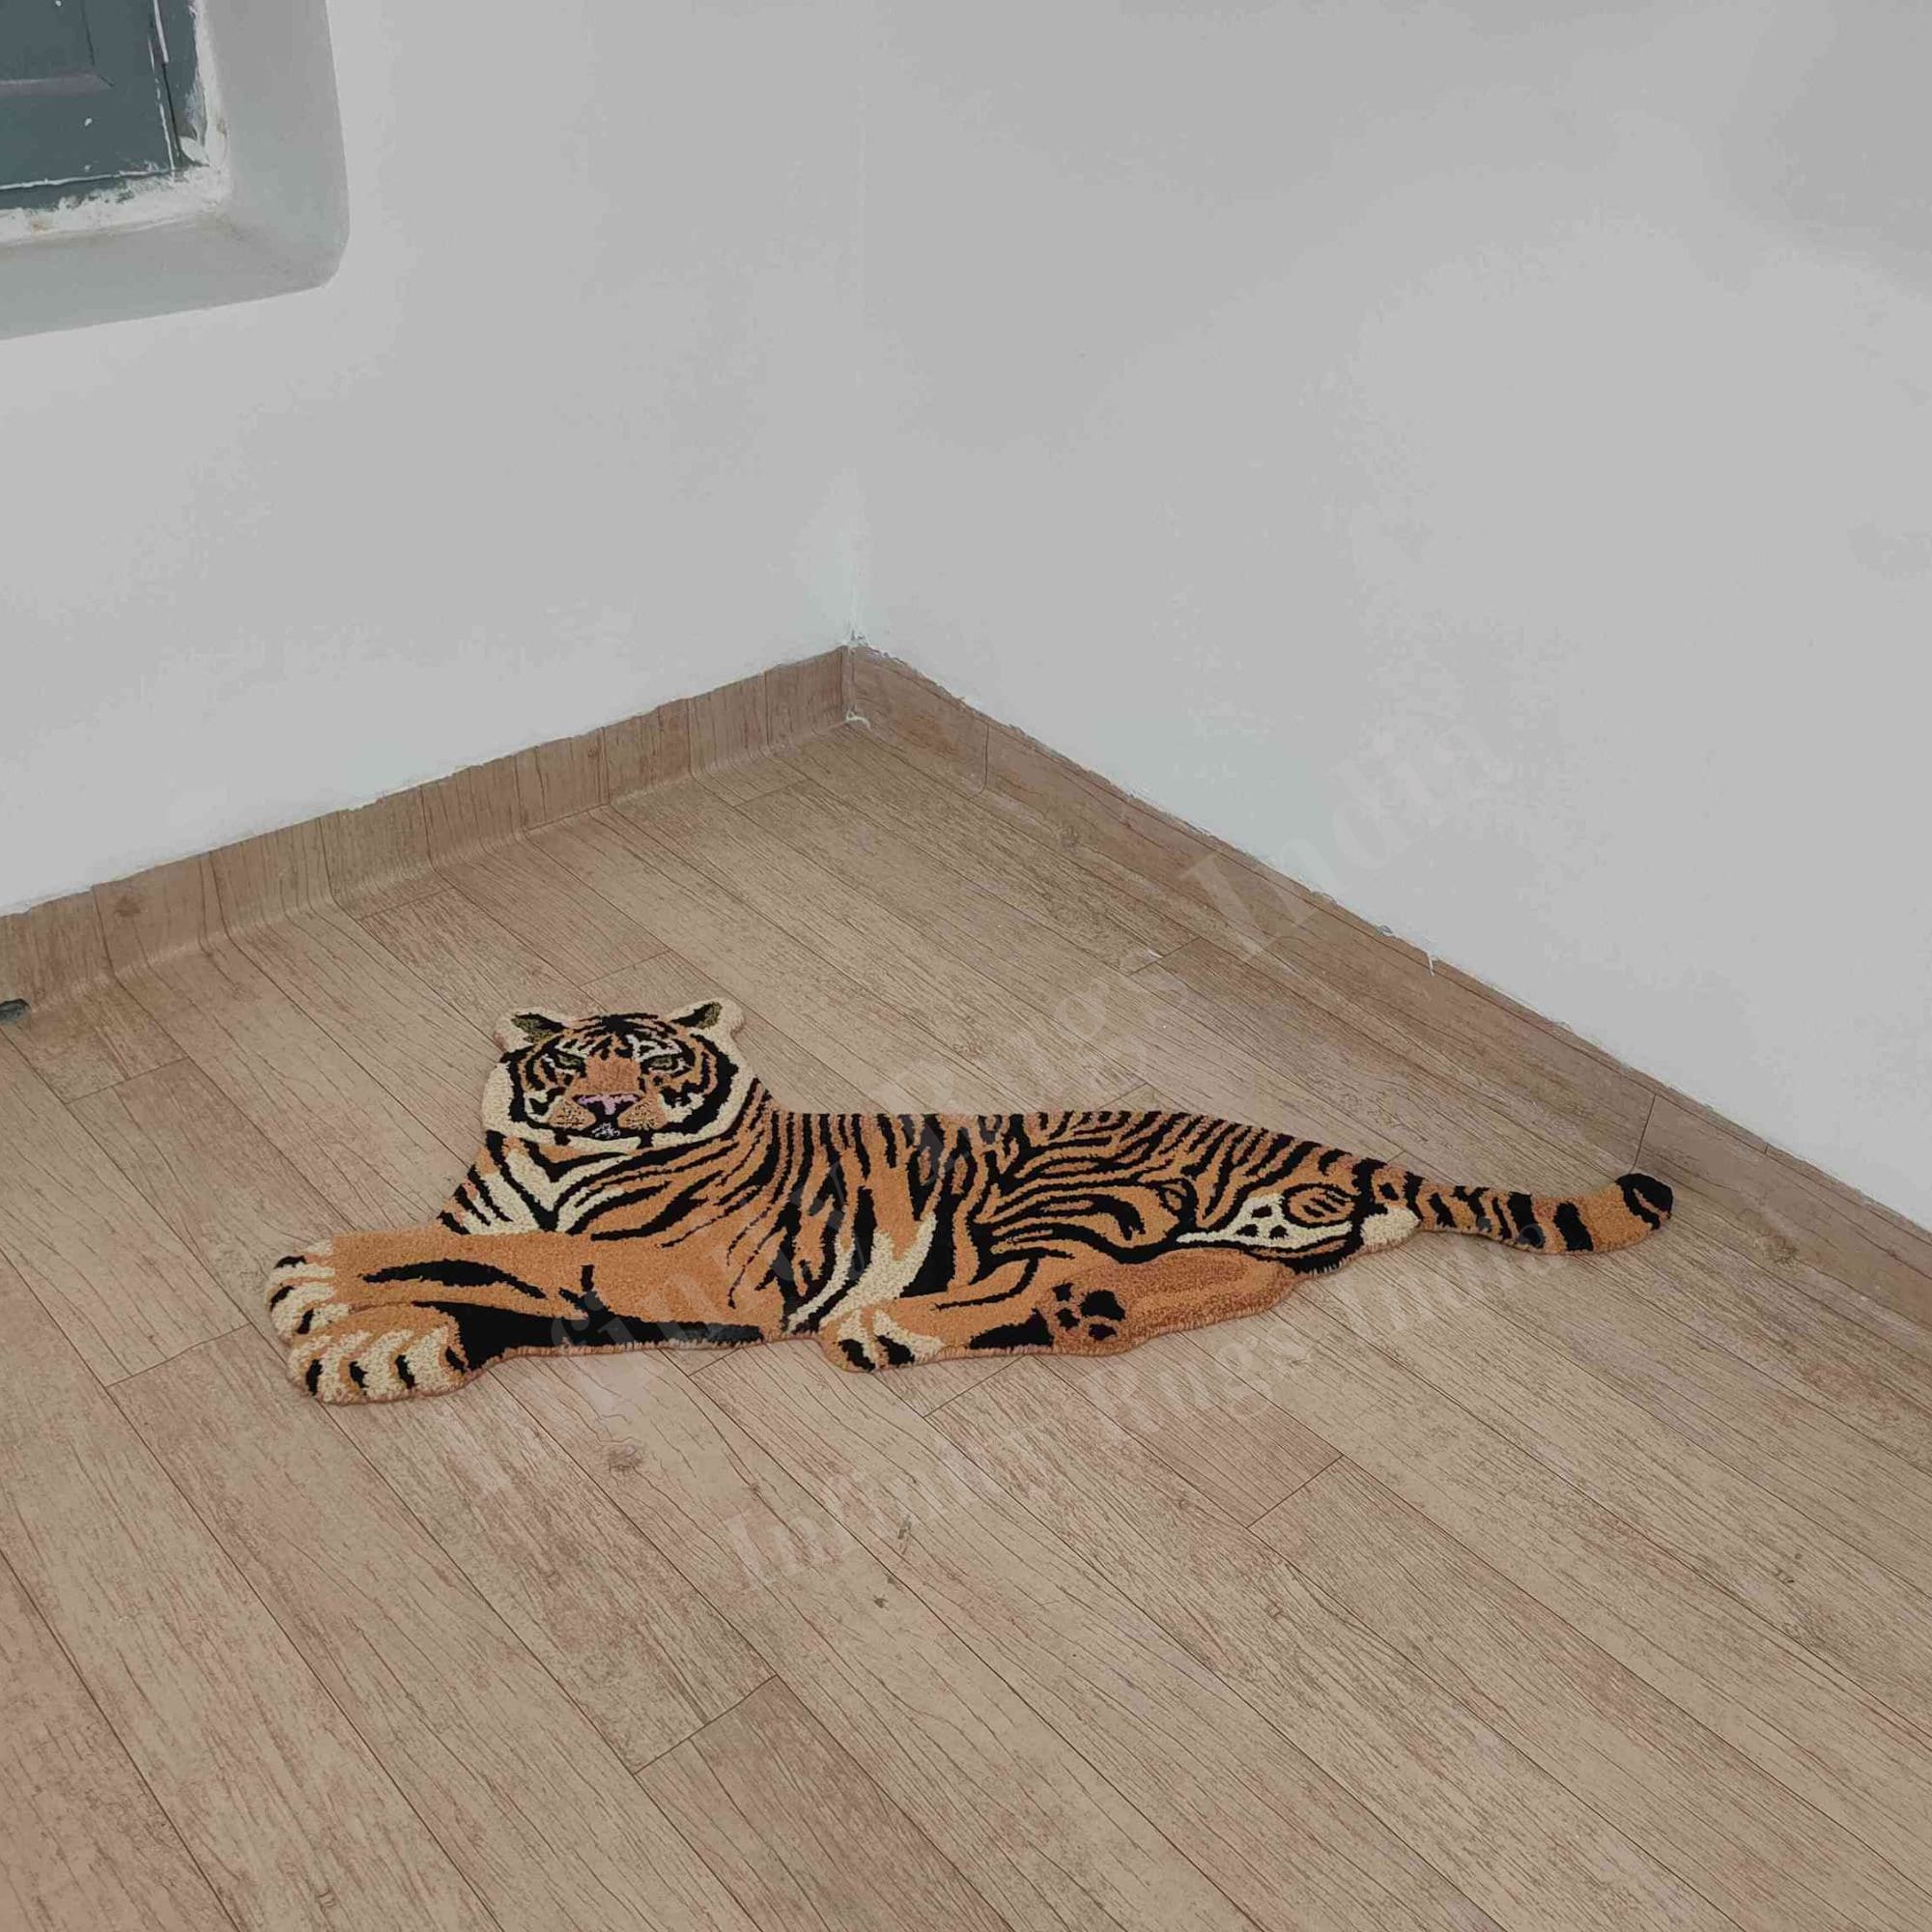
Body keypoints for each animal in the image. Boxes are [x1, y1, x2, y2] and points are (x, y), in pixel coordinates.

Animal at [267, 1000, 1675, 1403]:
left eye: (658, 1065)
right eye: (574, 1065)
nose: (610, 1109)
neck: (563, 1162)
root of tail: (1281, 1133)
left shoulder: (685, 1267)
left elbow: (518, 1266)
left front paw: (319, 1282)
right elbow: (472, 1272)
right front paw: (375, 1346)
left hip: (1048, 1196)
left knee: (1031, 1283)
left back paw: (893, 1329)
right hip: (1227, 1245)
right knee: (1207, 1283)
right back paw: (1094, 1320)